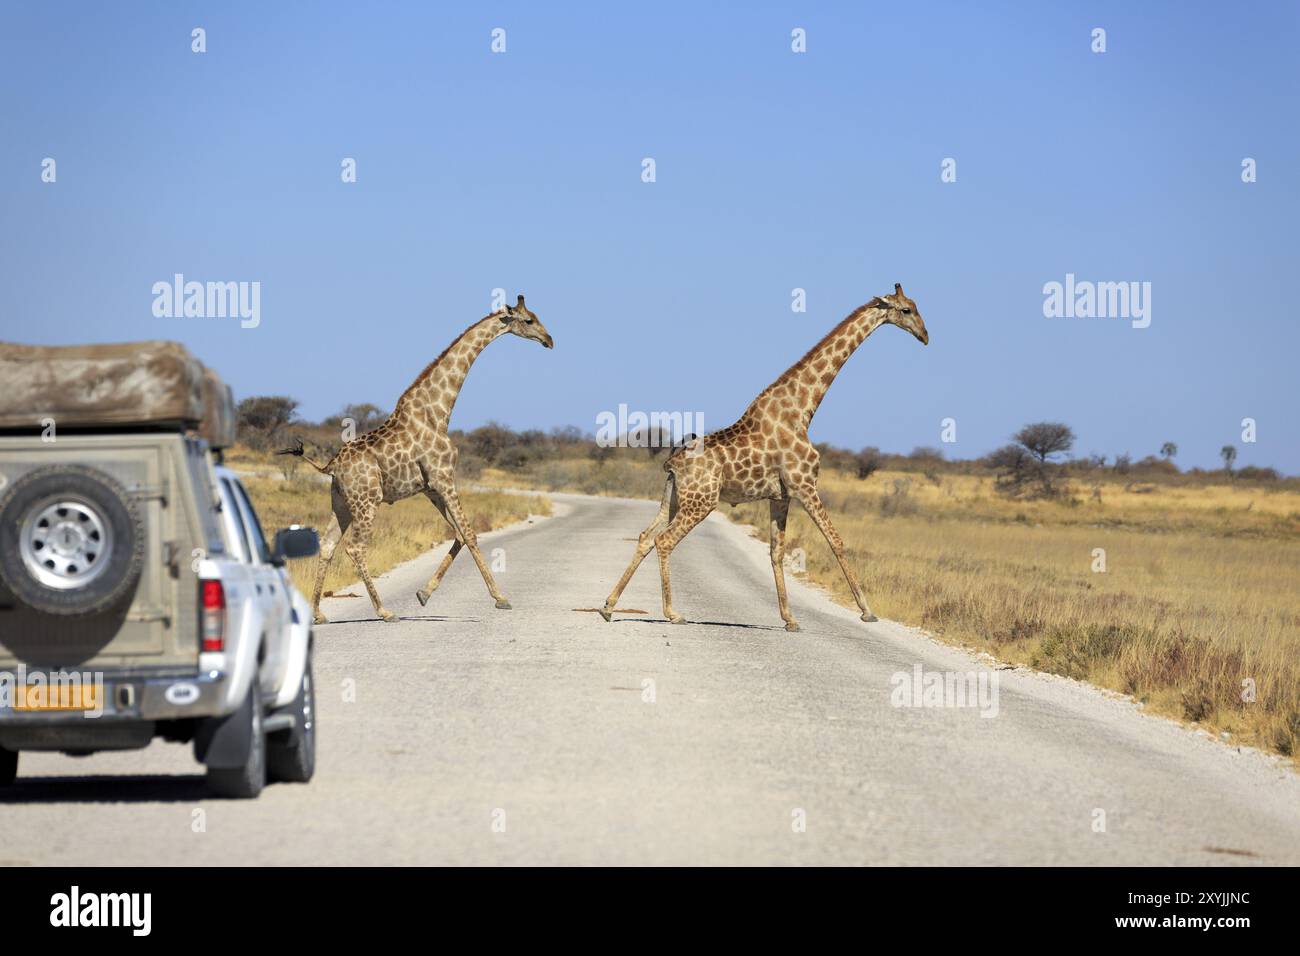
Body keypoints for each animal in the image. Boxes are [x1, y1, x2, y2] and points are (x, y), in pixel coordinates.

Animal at [280, 295, 554, 624]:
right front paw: (500, 598)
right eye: (528, 320)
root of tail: (331, 466)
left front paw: (423, 594)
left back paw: (318, 613)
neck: (438, 412)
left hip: (341, 502)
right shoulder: (444, 477)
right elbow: (471, 534)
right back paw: (384, 611)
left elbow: (458, 535)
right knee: (355, 548)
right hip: (367, 500)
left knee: (328, 544)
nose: (549, 340)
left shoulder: (430, 487)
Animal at [598, 284, 928, 631]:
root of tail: (672, 464)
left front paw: (790, 618)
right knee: (664, 541)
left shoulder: (780, 495)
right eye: (906, 310)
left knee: (646, 537)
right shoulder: (804, 485)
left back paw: (608, 606)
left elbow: (776, 552)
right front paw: (867, 611)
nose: (925, 335)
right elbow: (835, 541)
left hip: (674, 498)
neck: (803, 410)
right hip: (701, 502)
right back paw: (672, 613)